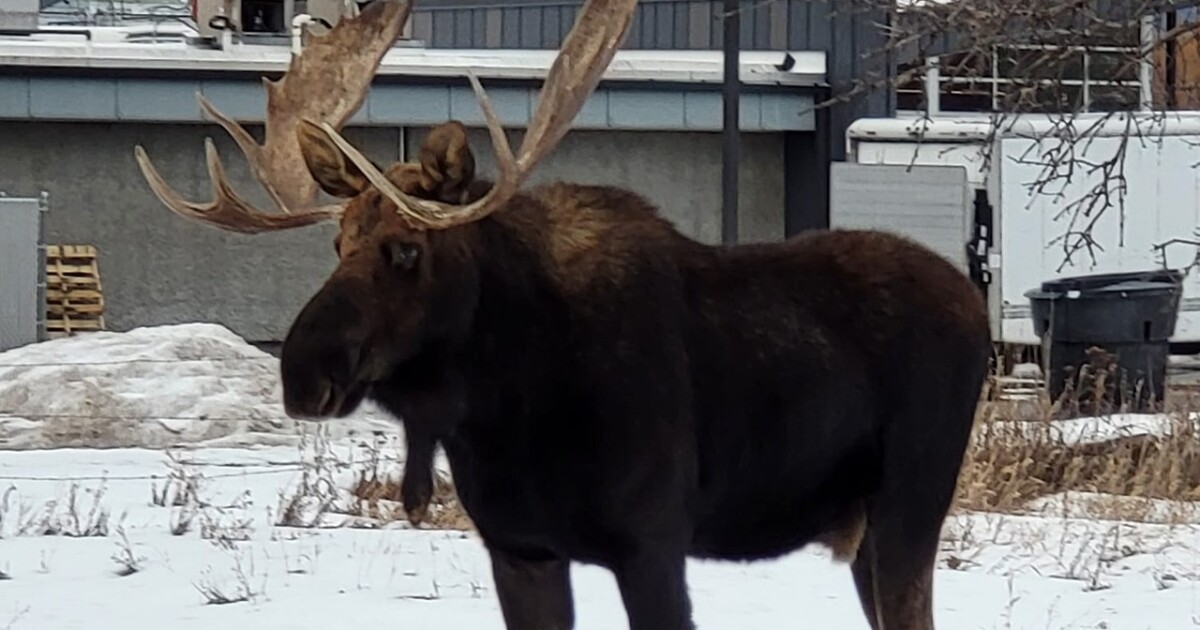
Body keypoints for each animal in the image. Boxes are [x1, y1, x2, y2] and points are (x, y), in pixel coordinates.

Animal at [133, 1, 993, 628]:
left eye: (408, 249)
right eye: (336, 241)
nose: (302, 372)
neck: (506, 410)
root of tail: (973, 304)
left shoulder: (652, 542)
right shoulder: (521, 549)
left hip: (907, 508)